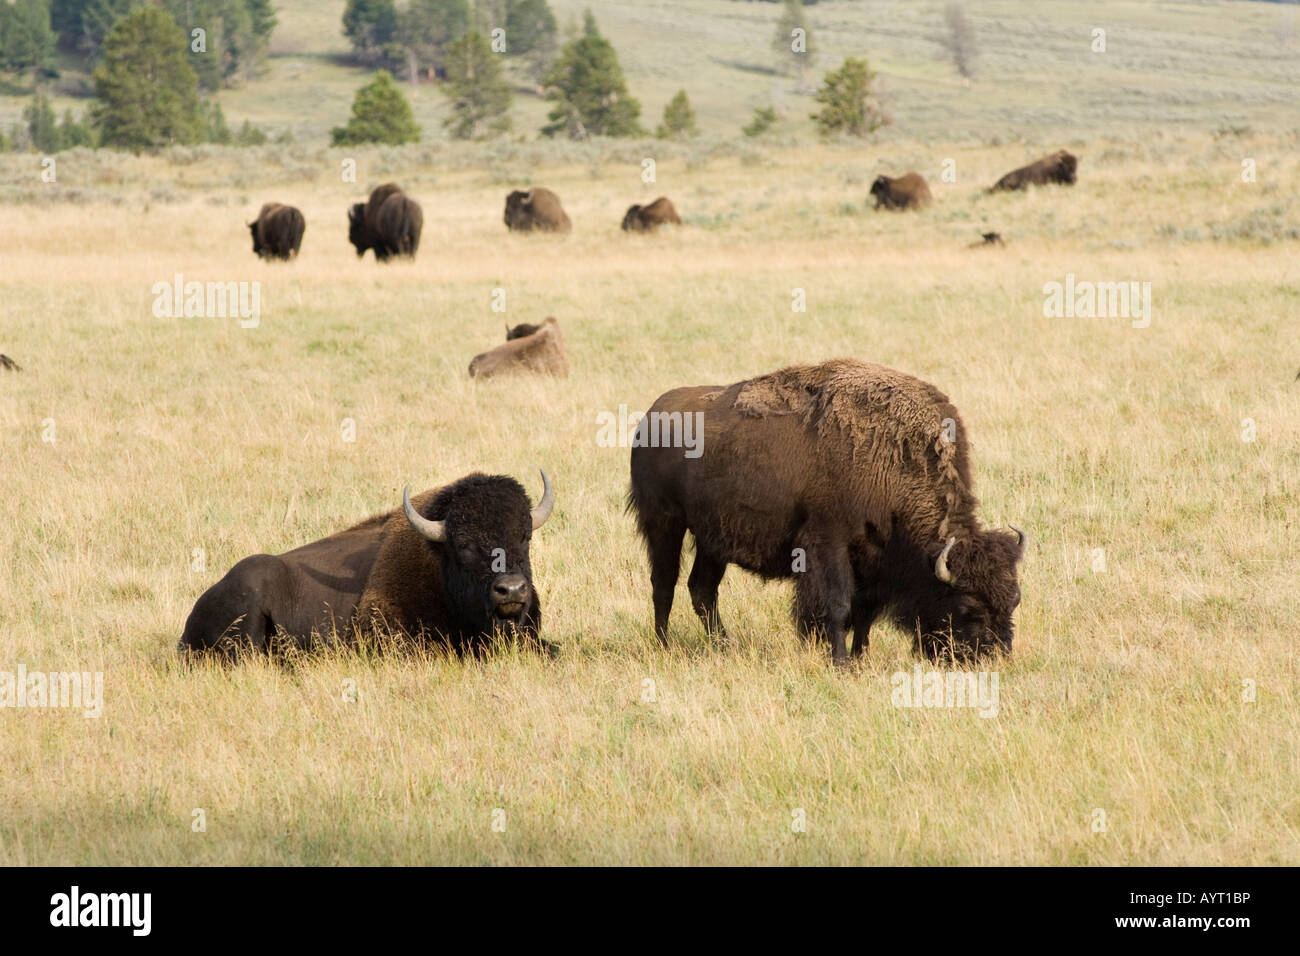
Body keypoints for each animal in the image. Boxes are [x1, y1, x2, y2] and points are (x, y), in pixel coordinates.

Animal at [627, 359, 1026, 664]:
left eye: (1014, 602)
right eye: (969, 609)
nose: (992, 660)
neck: (892, 458)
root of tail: (650, 416)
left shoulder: (873, 561)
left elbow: (864, 612)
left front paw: (860, 657)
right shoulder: (829, 544)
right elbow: (837, 604)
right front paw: (841, 662)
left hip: (713, 538)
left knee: (703, 589)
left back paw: (725, 646)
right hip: (664, 524)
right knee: (664, 584)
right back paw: (664, 645)